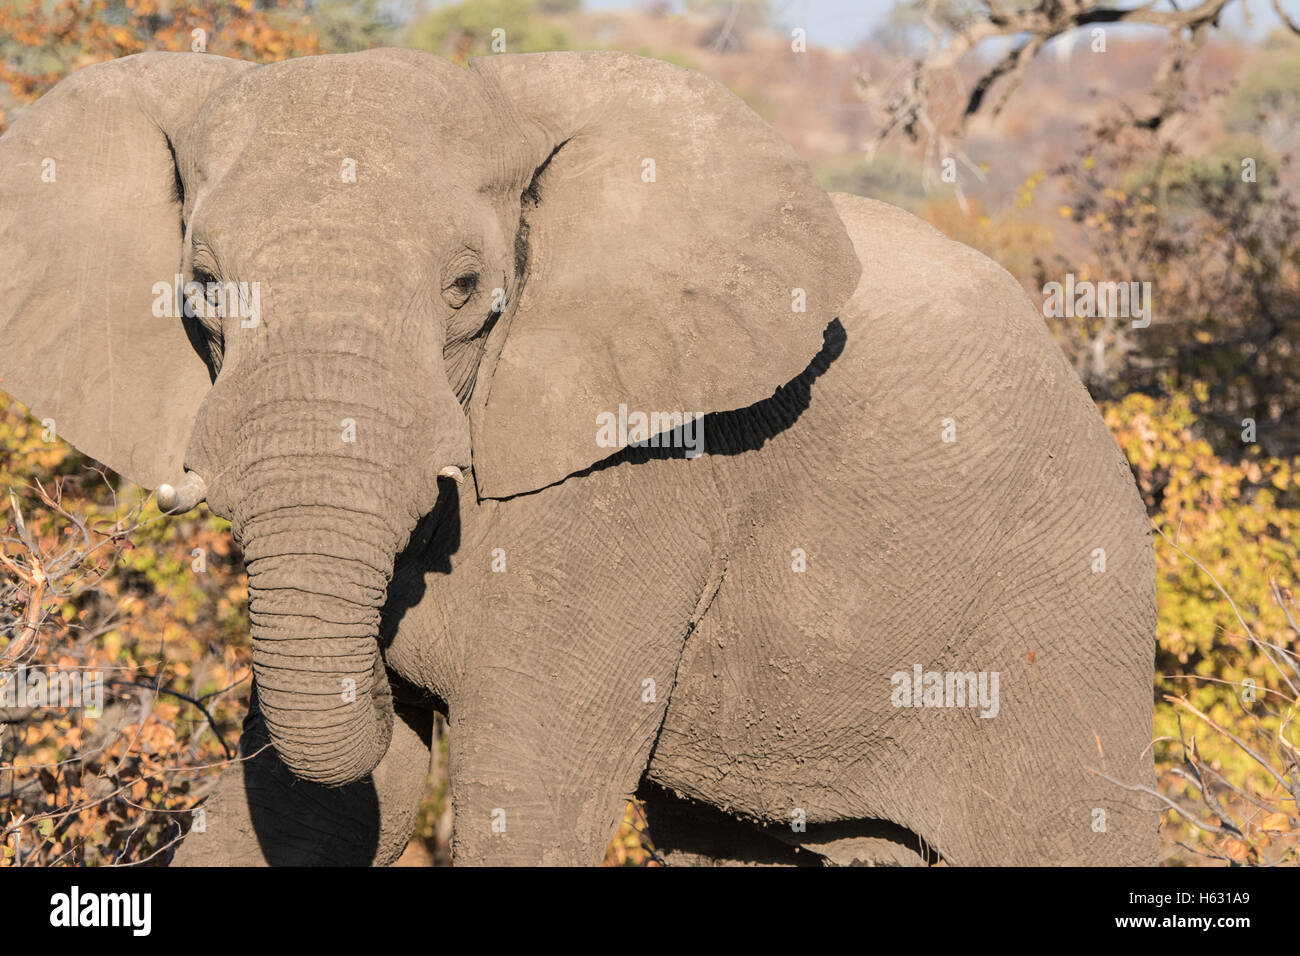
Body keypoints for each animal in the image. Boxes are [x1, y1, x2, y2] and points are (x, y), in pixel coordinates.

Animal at [0, 47, 1158, 866]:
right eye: (201, 286)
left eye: (467, 289)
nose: (390, 670)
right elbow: (310, 813)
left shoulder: (638, 482)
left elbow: (528, 794)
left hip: (1063, 609)